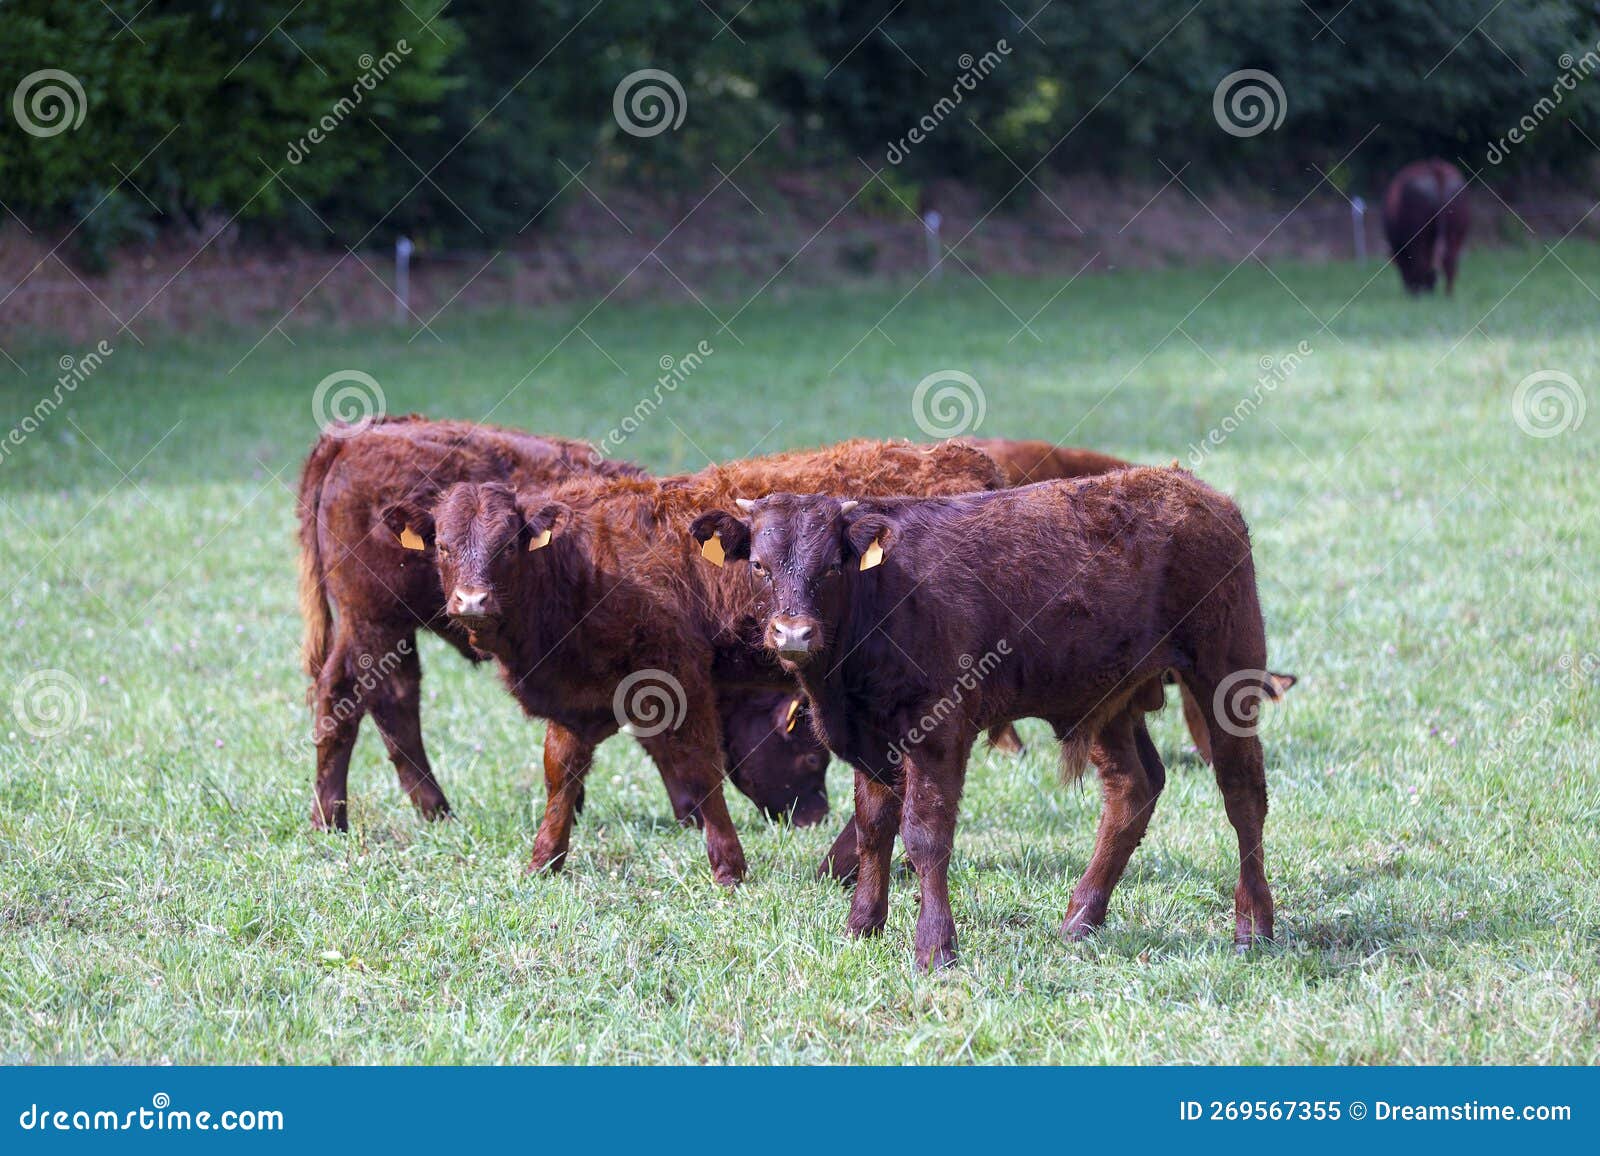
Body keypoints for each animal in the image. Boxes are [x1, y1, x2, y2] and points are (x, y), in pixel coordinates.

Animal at [296, 415, 839, 832]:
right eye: (812, 755)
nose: (812, 816)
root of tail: (354, 437)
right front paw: (688, 812)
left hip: (388, 631)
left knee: (389, 699)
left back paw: (427, 812)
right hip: (373, 623)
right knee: (352, 696)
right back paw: (335, 819)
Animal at [394, 439, 1006, 885]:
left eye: (505, 546)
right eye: (443, 546)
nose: (472, 601)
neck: (582, 564)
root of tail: (959, 455)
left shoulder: (677, 681)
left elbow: (700, 768)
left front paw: (728, 866)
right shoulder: (579, 701)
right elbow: (560, 773)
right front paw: (544, 859)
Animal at [692, 468, 1277, 969]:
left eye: (831, 567)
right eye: (760, 566)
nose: (793, 633)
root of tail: (1198, 492)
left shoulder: (938, 733)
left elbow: (925, 836)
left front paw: (935, 948)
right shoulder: (870, 740)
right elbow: (873, 829)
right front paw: (862, 926)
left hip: (1227, 675)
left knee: (1242, 793)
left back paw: (1253, 925)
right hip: (1110, 701)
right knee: (1134, 789)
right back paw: (1080, 919)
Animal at [1383, 159, 1469, 295]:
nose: (1409, 290)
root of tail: (1436, 169)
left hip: (1420, 239)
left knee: (1423, 263)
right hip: (1455, 235)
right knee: (1449, 262)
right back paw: (1447, 294)